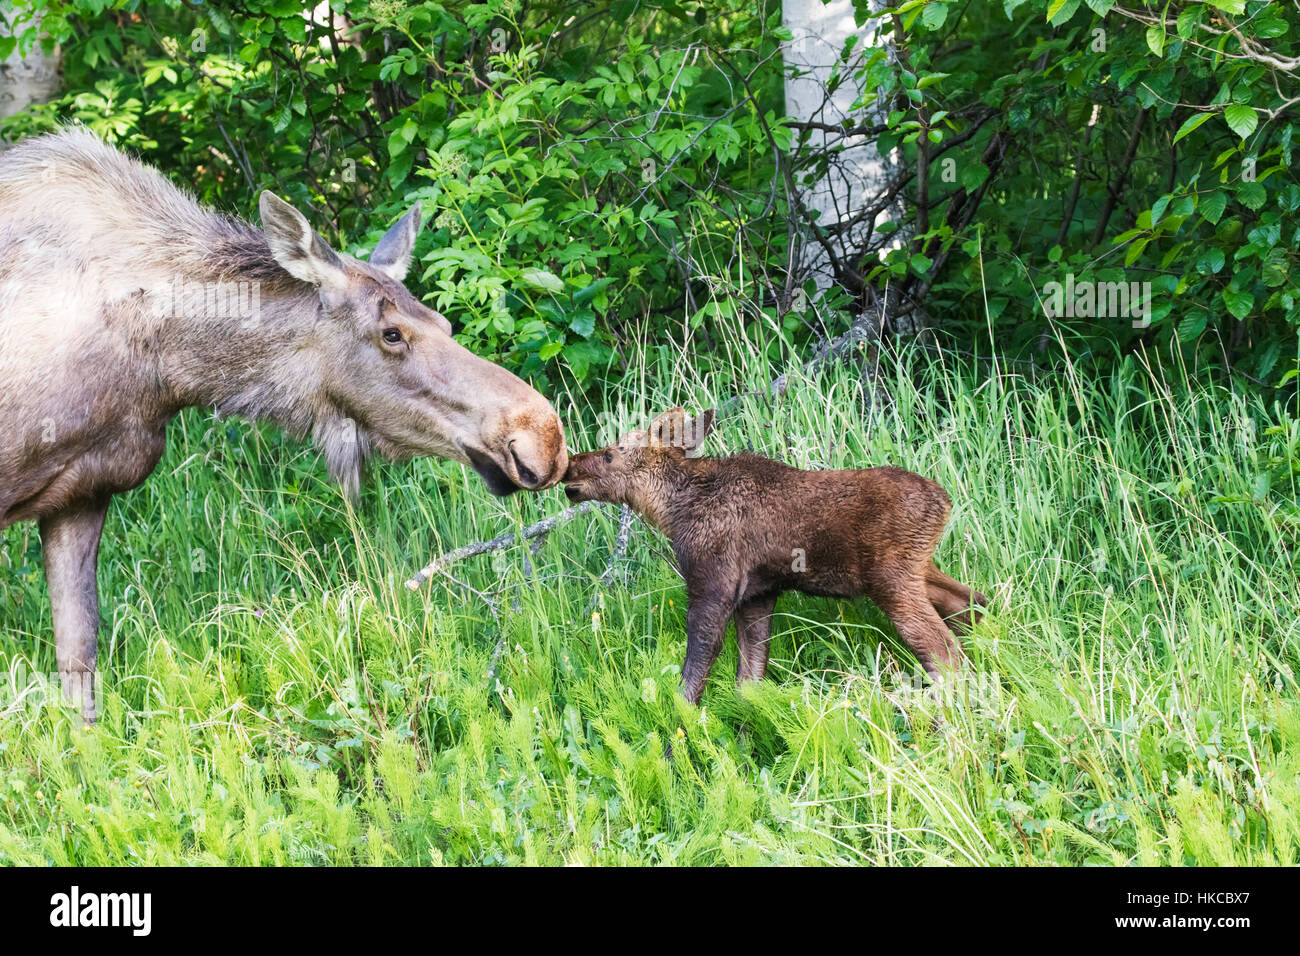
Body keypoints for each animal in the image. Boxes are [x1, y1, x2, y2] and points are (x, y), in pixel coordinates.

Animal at [0, 127, 569, 721]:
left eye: (444, 322)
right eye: (391, 333)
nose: (541, 434)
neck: (163, 368)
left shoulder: (81, 496)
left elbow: (79, 670)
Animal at [562, 408, 987, 703]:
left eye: (610, 454)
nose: (569, 469)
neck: (673, 510)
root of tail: (945, 502)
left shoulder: (712, 586)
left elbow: (691, 683)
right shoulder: (757, 595)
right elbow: (748, 681)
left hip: (891, 577)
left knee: (944, 650)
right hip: (918, 570)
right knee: (971, 602)